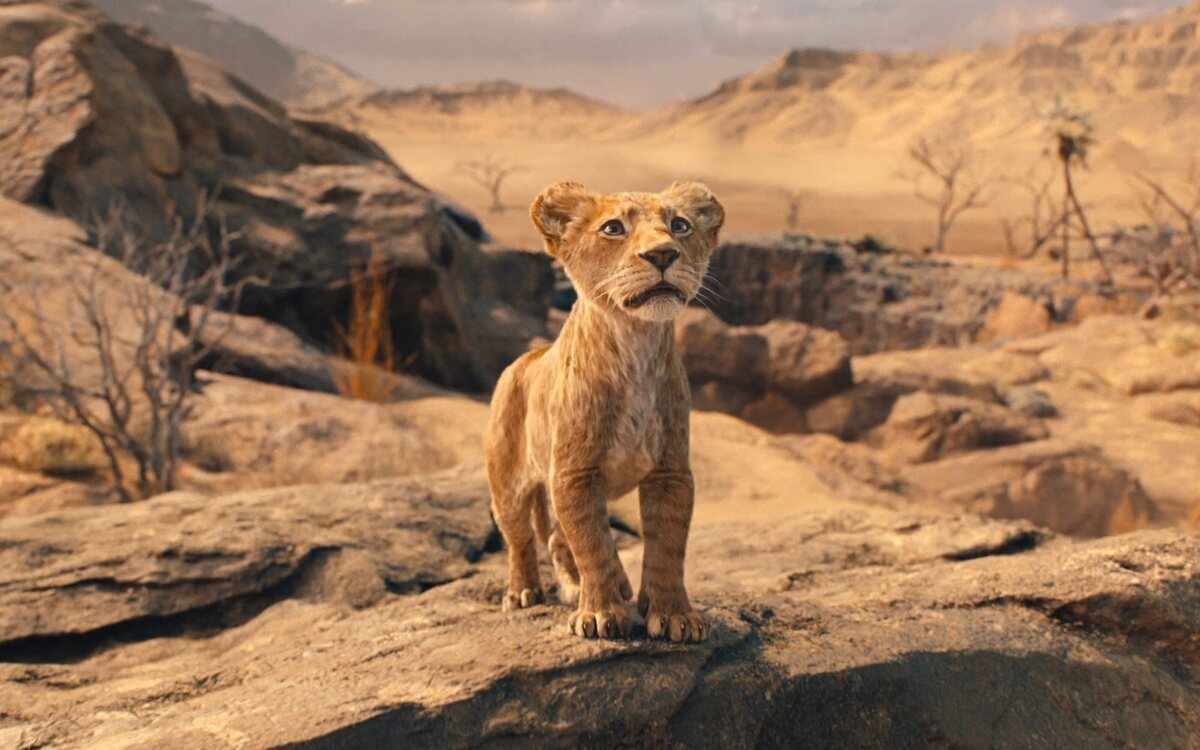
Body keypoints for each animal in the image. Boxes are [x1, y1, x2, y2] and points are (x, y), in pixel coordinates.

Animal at [484, 180, 724, 642]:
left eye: (680, 225)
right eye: (613, 228)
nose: (663, 254)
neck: (635, 345)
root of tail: (526, 357)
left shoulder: (670, 472)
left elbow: (668, 546)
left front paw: (674, 615)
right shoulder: (574, 473)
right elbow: (592, 543)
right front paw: (598, 614)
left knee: (559, 539)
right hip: (508, 484)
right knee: (522, 539)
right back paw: (523, 592)